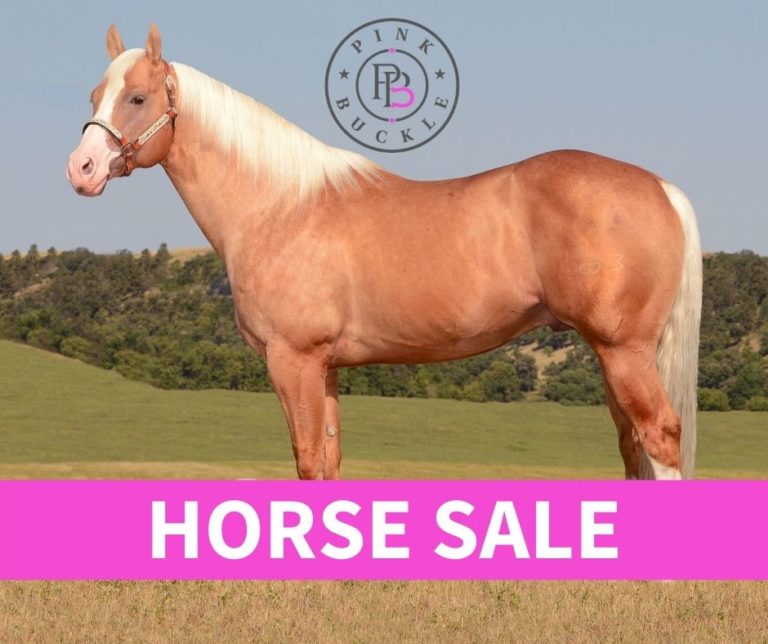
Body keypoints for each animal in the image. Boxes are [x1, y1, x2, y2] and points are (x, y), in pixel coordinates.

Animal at [67, 24, 702, 481]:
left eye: (138, 97)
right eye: (95, 95)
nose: (82, 169)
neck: (280, 207)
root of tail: (660, 187)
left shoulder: (293, 361)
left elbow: (305, 459)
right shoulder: (324, 368)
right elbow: (328, 460)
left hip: (623, 352)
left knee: (659, 437)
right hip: (615, 356)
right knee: (632, 448)